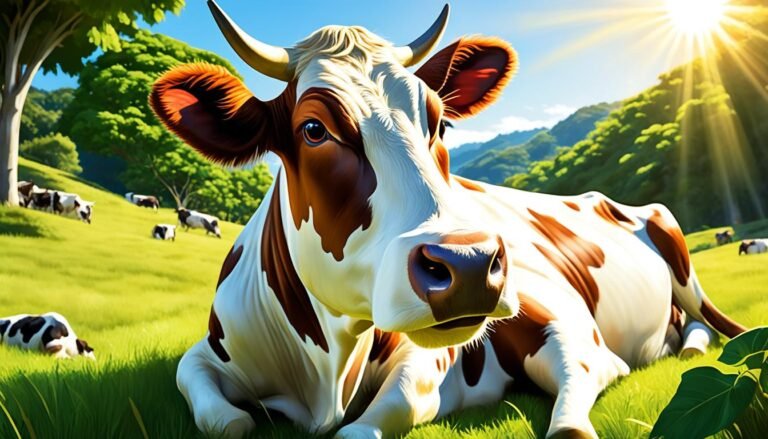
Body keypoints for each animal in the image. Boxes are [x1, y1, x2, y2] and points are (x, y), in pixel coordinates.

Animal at [149, 2, 748, 438]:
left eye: (439, 121)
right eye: (314, 129)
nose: (469, 262)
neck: (326, 371)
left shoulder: (427, 362)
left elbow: (364, 426)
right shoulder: (209, 354)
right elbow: (220, 414)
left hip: (639, 264)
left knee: (593, 380)